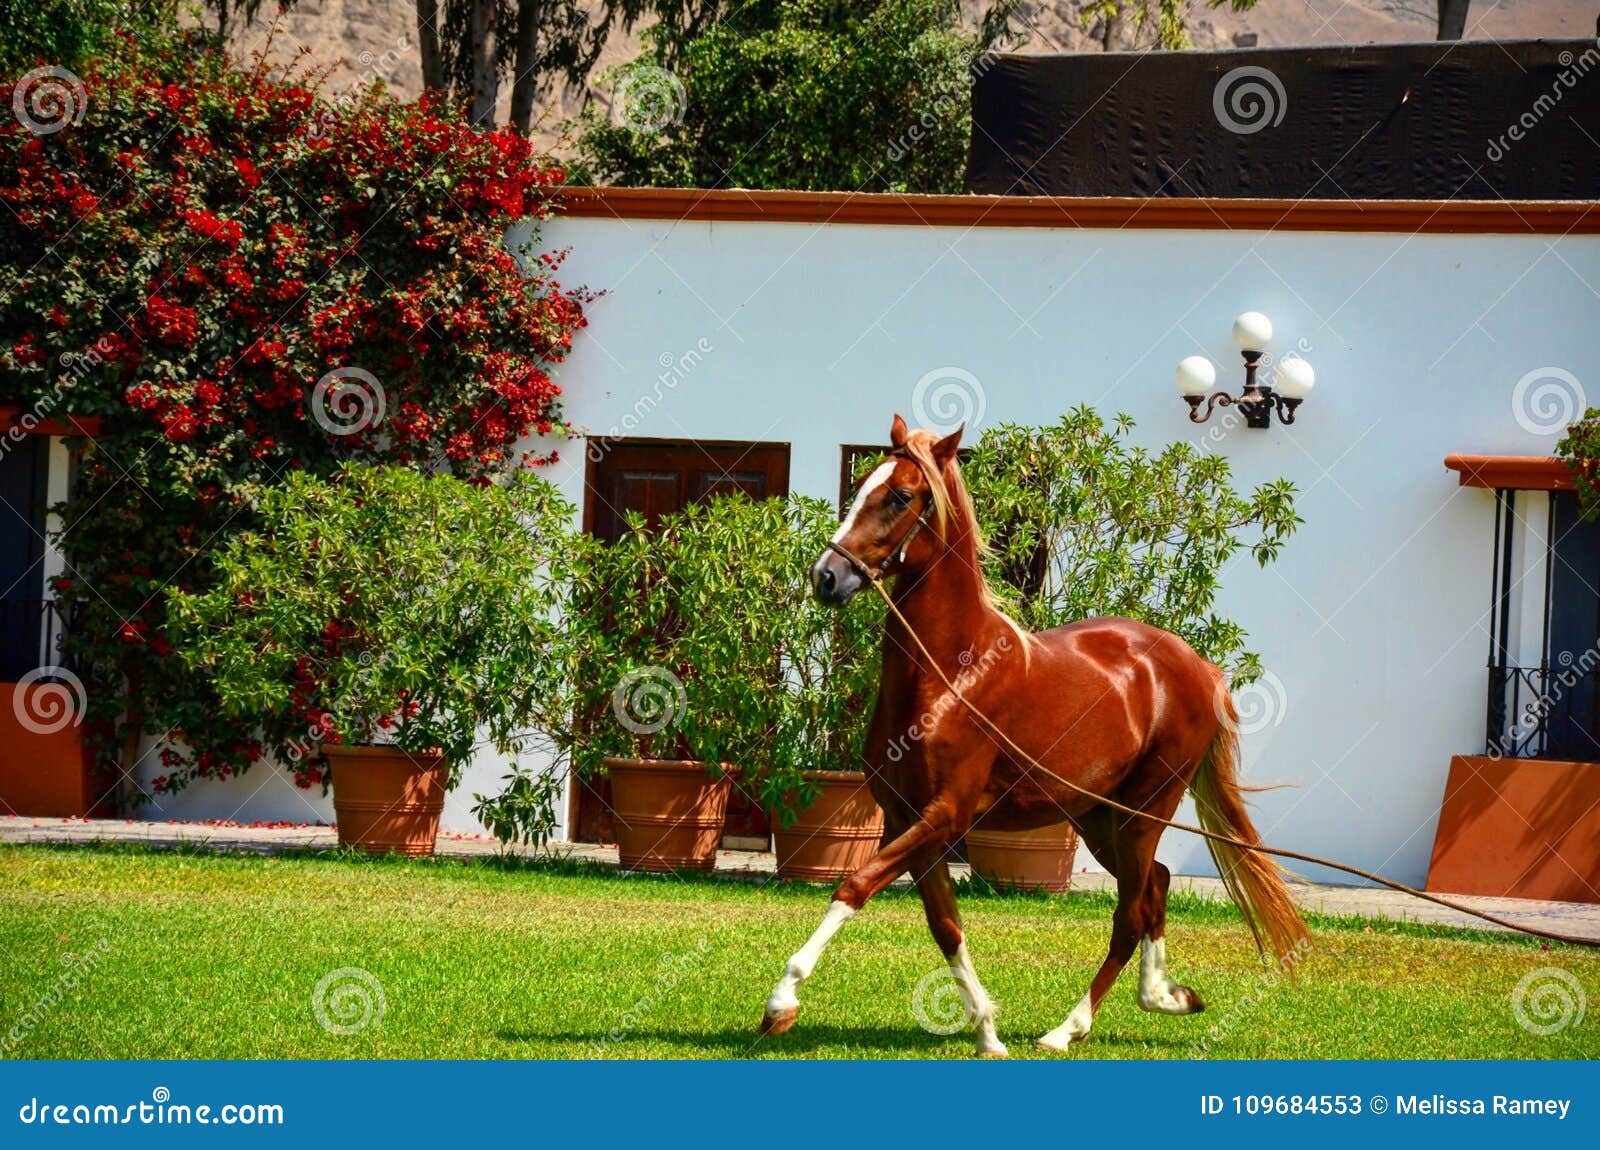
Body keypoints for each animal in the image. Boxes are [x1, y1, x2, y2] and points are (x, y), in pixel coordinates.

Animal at [760, 414, 1308, 1057]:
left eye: (900, 495)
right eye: (863, 482)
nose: (827, 577)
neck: (951, 675)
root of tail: (1198, 667)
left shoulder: (944, 815)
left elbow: (854, 886)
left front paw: (781, 1002)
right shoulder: (905, 820)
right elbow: (946, 925)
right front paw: (988, 1034)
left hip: (1145, 811)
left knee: (1131, 911)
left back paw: (1070, 1028)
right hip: (1099, 817)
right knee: (1155, 887)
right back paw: (1167, 997)